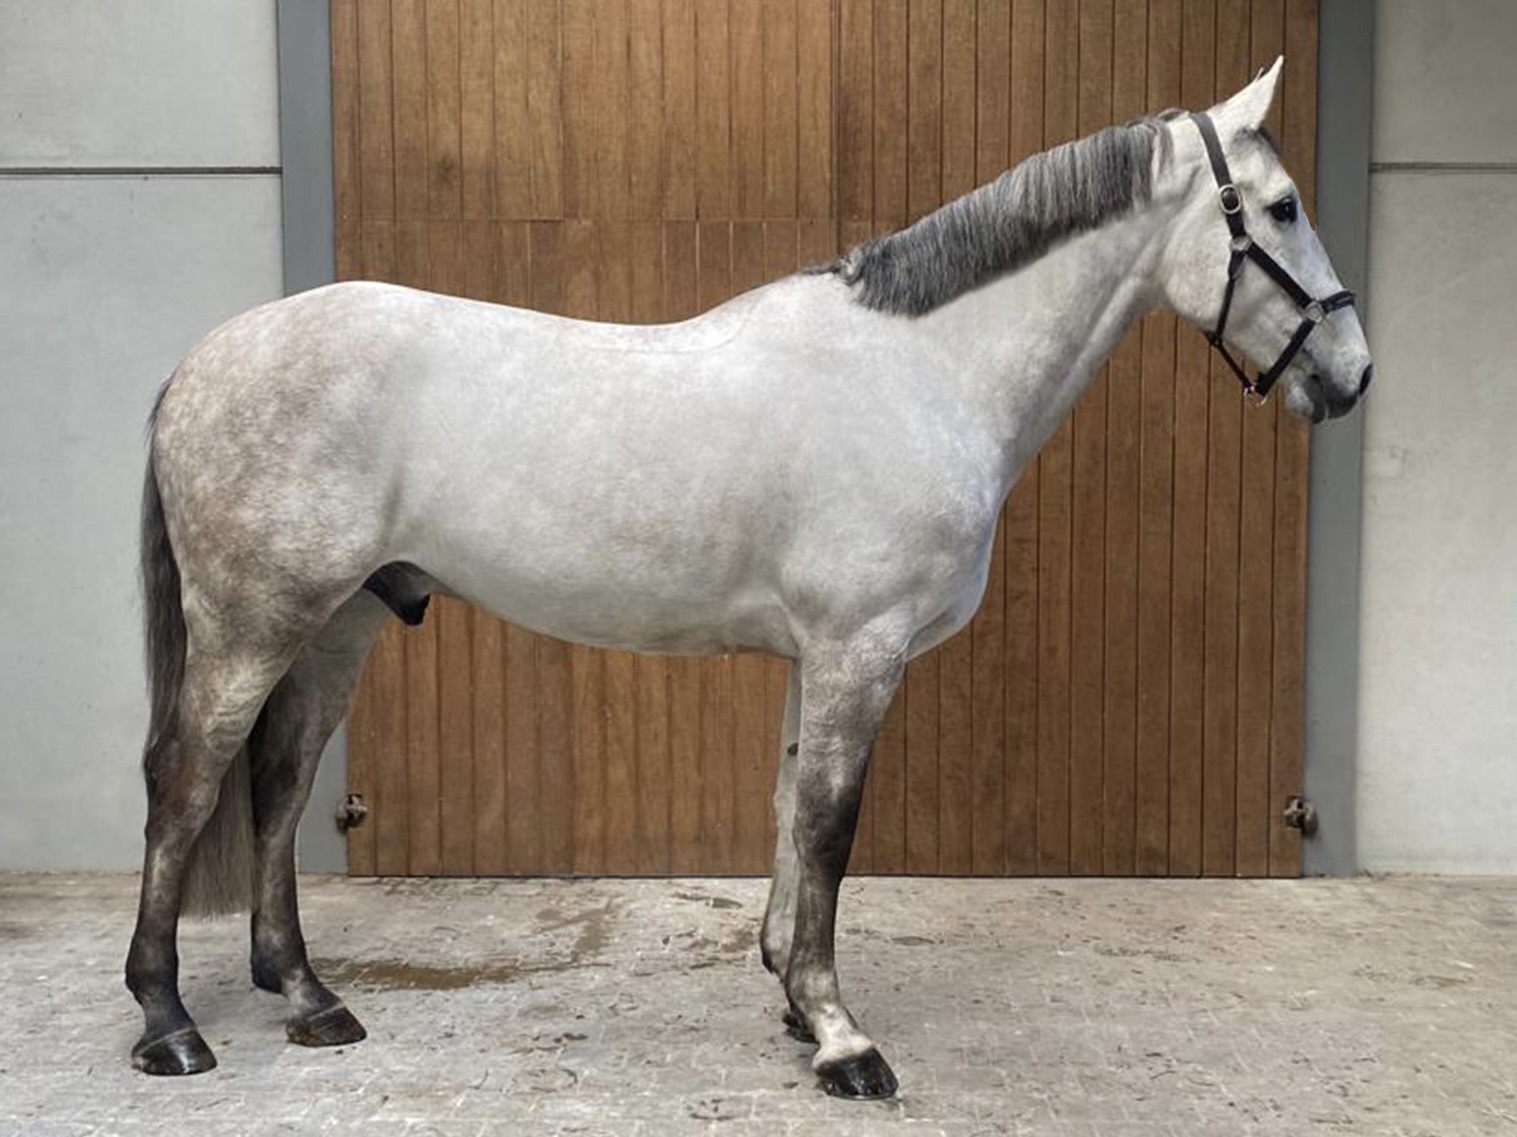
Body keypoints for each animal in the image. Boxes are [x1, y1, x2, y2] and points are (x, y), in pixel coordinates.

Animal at [125, 59, 1371, 1099]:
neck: (923, 370)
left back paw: (309, 998)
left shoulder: (815, 655)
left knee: (278, 786)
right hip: (252, 624)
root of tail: (203, 361)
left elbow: (786, 811)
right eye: (1279, 208)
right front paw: (840, 1038)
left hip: (337, 623)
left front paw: (789, 996)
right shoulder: (859, 649)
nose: (1350, 374)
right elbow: (827, 826)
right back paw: (168, 1024)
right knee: (185, 784)